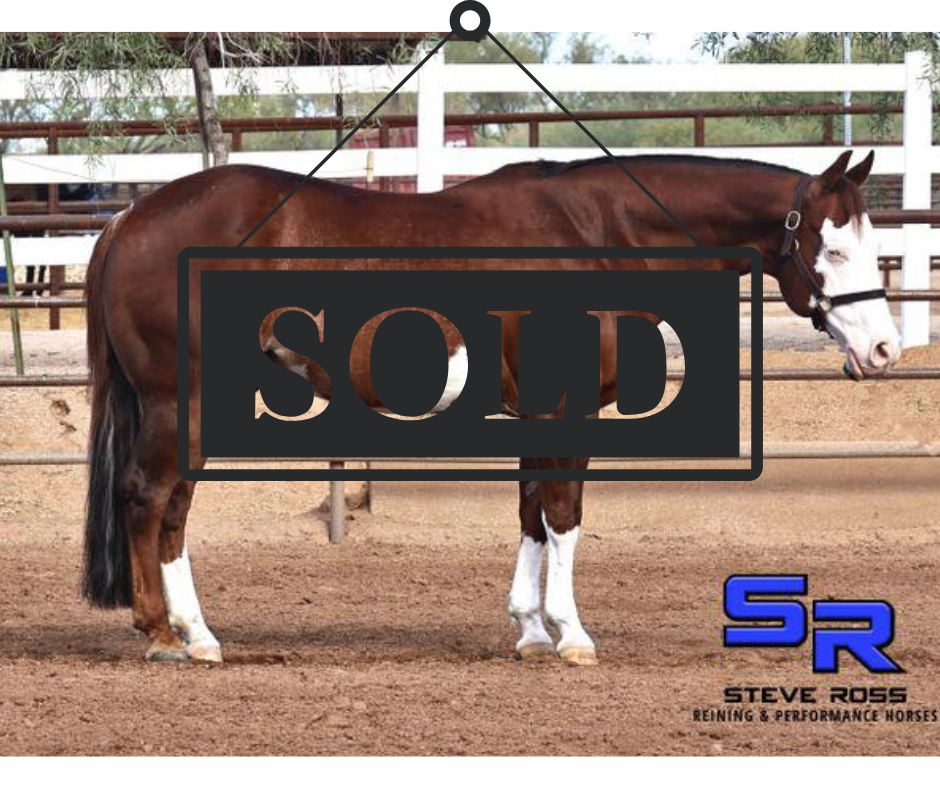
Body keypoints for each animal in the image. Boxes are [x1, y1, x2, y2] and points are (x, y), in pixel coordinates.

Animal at [81, 149, 901, 664]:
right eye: (831, 250)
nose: (886, 349)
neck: (599, 238)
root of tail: (130, 217)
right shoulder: (568, 411)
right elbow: (565, 513)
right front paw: (571, 635)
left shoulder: (536, 415)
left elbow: (532, 512)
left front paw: (531, 631)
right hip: (177, 399)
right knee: (148, 497)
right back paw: (162, 635)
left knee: (175, 509)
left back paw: (198, 634)